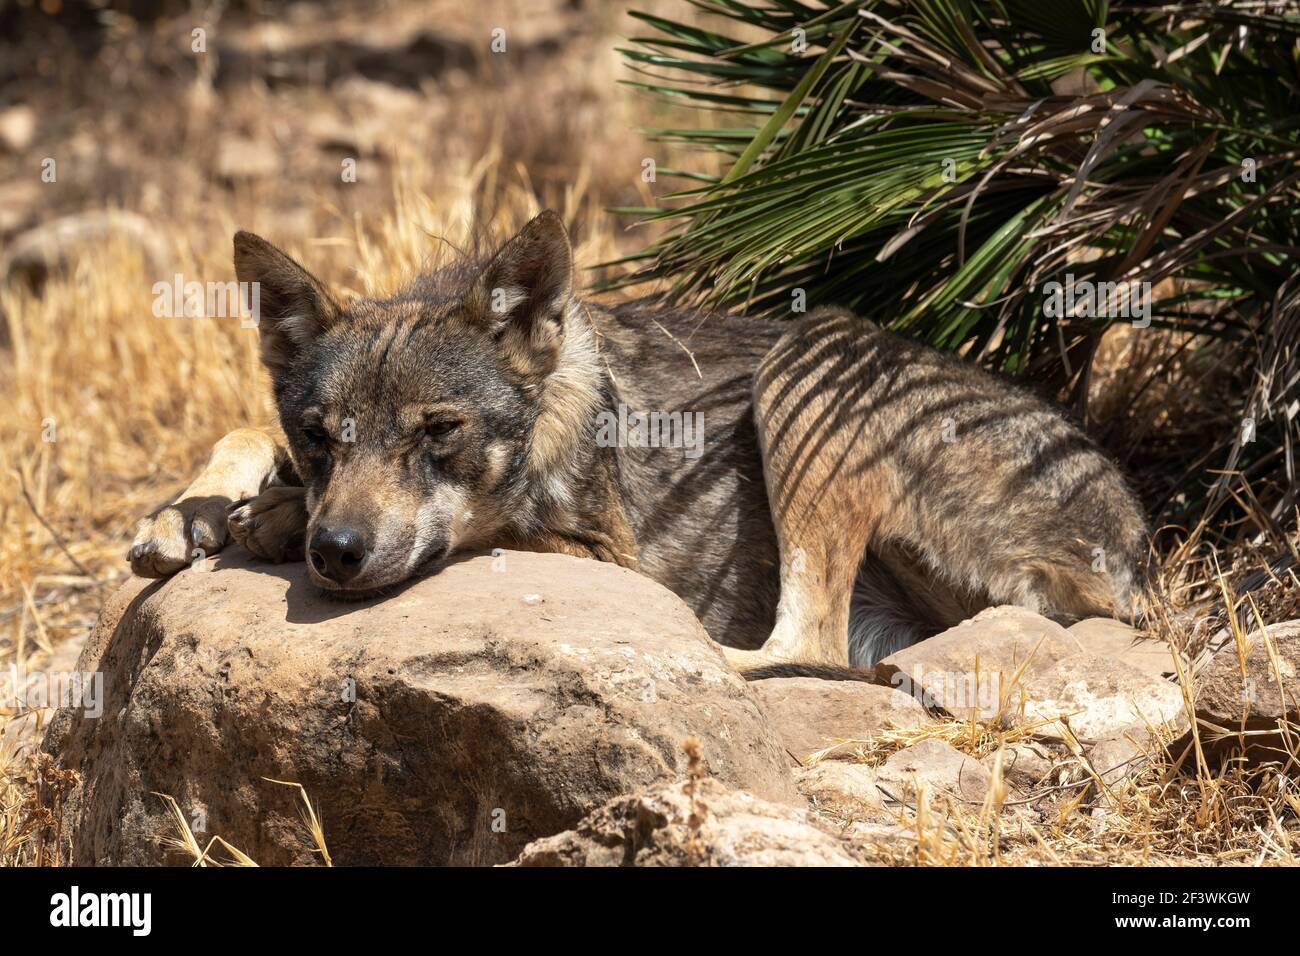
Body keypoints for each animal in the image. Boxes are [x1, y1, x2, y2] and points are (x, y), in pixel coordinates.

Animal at [127, 211, 1148, 670]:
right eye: (317, 435)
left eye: (441, 433)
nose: (333, 552)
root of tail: (1139, 559)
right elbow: (238, 426)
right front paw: (191, 514)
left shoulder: (605, 553)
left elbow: (486, 527)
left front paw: (263, 519)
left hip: (815, 351)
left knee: (802, 645)